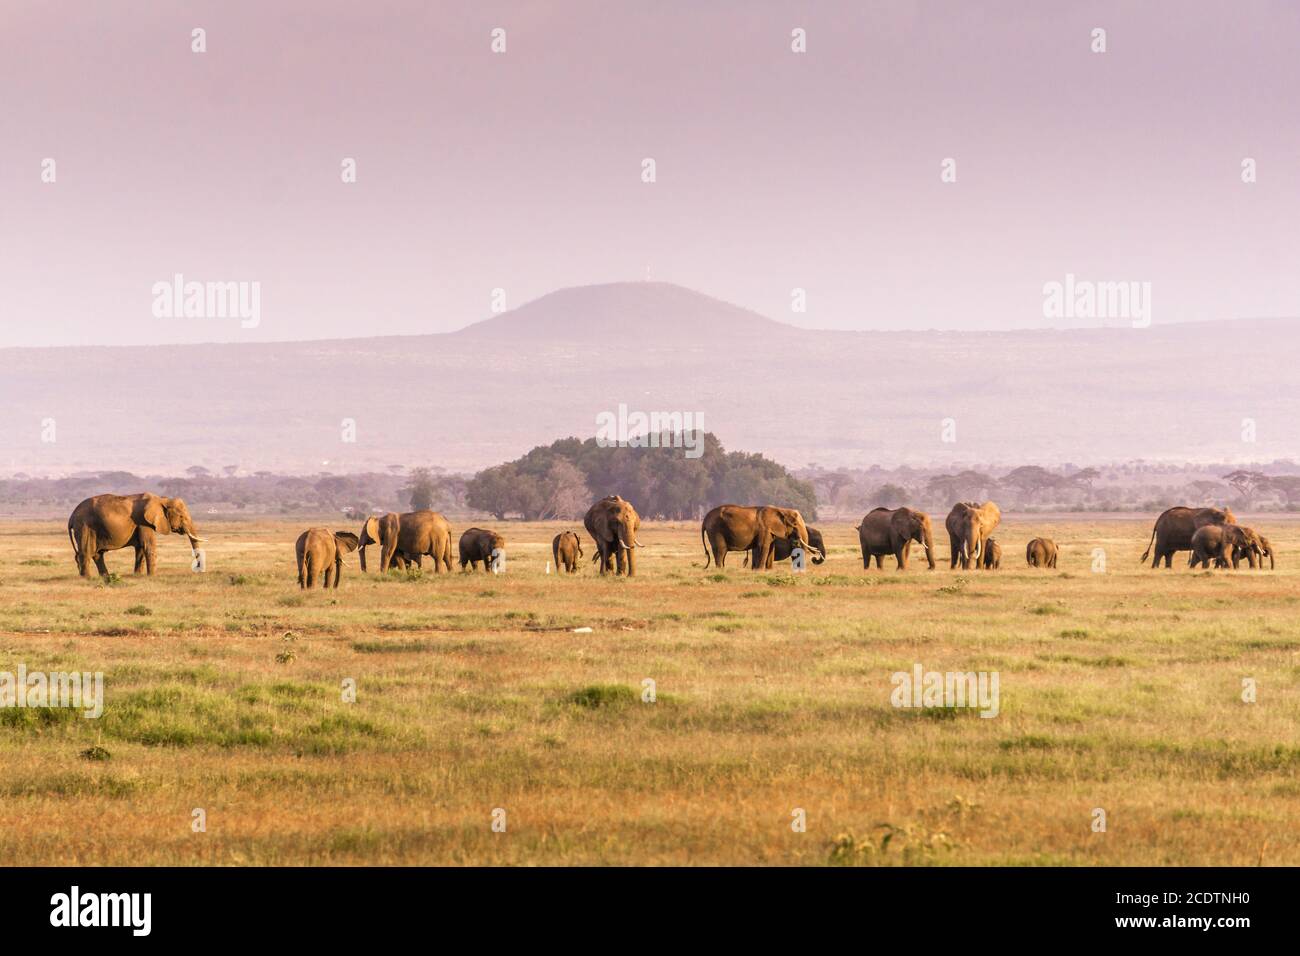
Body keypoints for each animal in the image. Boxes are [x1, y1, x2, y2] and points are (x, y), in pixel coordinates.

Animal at [67, 493, 205, 578]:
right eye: (181, 517)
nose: (198, 570)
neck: (162, 500)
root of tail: (72, 516)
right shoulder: (144, 522)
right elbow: (148, 547)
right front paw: (152, 576)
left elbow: (140, 550)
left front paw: (138, 576)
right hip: (85, 526)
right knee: (86, 553)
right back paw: (86, 578)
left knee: (97, 555)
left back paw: (105, 576)